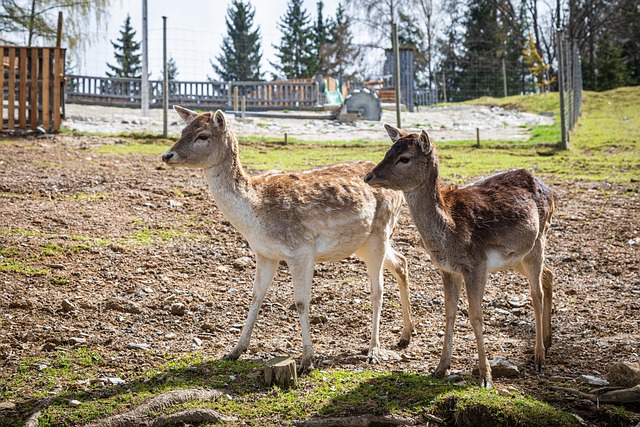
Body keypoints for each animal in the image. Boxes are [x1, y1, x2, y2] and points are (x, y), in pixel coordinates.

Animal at [161, 106, 414, 373]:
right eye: (183, 130)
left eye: (203, 135)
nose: (167, 155)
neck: (254, 213)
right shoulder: (265, 253)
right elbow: (256, 296)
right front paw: (234, 351)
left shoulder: (300, 249)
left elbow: (301, 302)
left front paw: (307, 360)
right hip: (364, 242)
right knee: (401, 261)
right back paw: (406, 335)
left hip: (380, 231)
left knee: (377, 289)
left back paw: (374, 349)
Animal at [364, 124, 556, 388]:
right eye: (388, 151)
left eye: (404, 158)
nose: (368, 177)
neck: (450, 229)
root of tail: (552, 192)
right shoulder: (447, 269)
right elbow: (449, 312)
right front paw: (440, 368)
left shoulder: (476, 264)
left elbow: (476, 316)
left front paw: (486, 377)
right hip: (518, 256)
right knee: (549, 274)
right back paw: (547, 340)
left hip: (538, 240)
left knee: (536, 293)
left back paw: (539, 357)